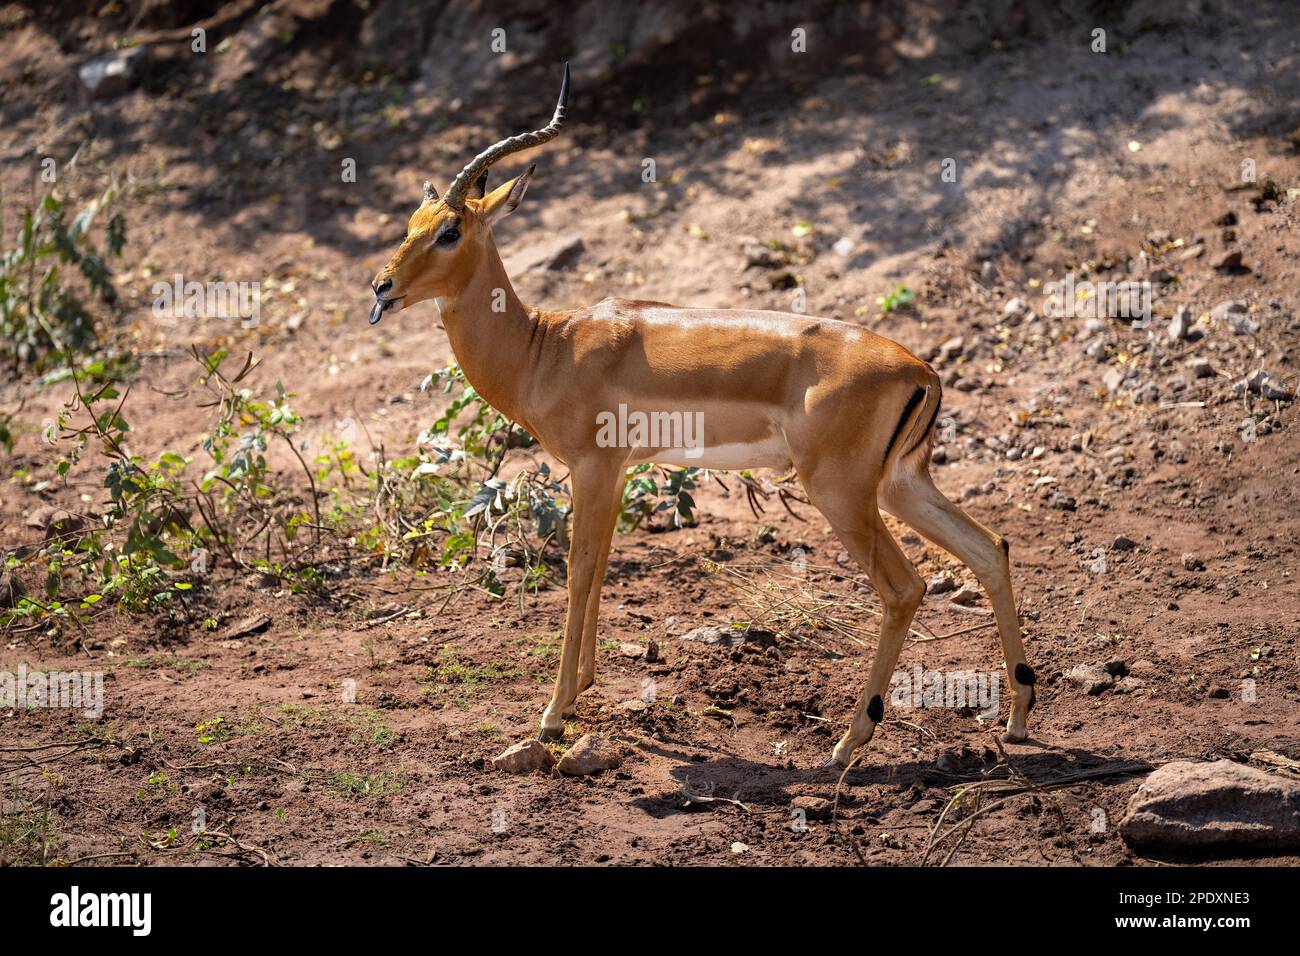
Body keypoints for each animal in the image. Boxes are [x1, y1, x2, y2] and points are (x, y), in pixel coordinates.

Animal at [370, 65, 1036, 767]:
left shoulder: (593, 467)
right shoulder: (616, 473)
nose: (382, 286)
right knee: (990, 548)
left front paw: (552, 715)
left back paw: (848, 742)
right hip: (900, 484)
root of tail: (921, 370)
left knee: (905, 586)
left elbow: (578, 571)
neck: (545, 347)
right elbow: (601, 565)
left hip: (842, 492)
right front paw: (580, 690)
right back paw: (1016, 719)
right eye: (412, 220)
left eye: (450, 230)